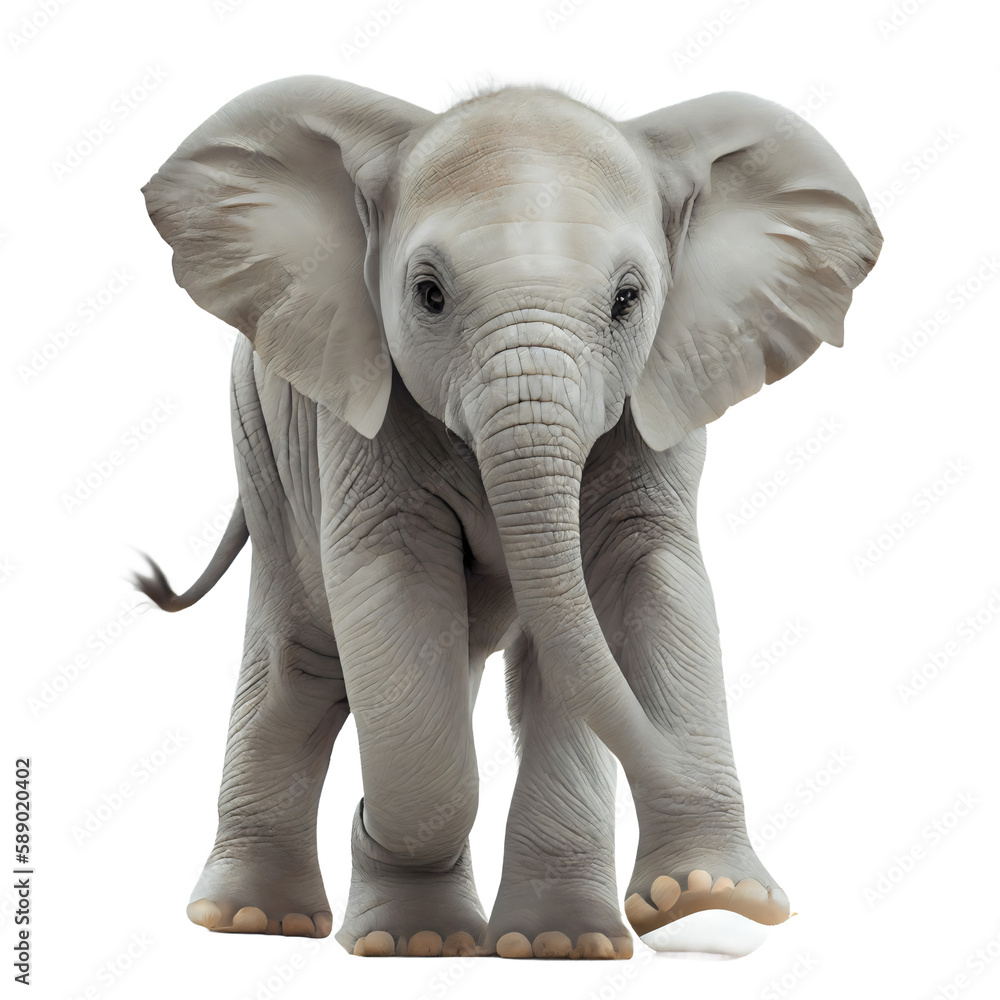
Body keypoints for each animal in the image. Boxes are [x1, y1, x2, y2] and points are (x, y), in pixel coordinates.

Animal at [135, 76, 881, 960]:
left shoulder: (660, 400)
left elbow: (647, 587)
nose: (767, 916)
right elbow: (398, 586)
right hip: (263, 439)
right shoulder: (357, 411)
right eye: (427, 294)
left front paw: (680, 907)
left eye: (628, 300)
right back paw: (270, 922)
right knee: (307, 656)